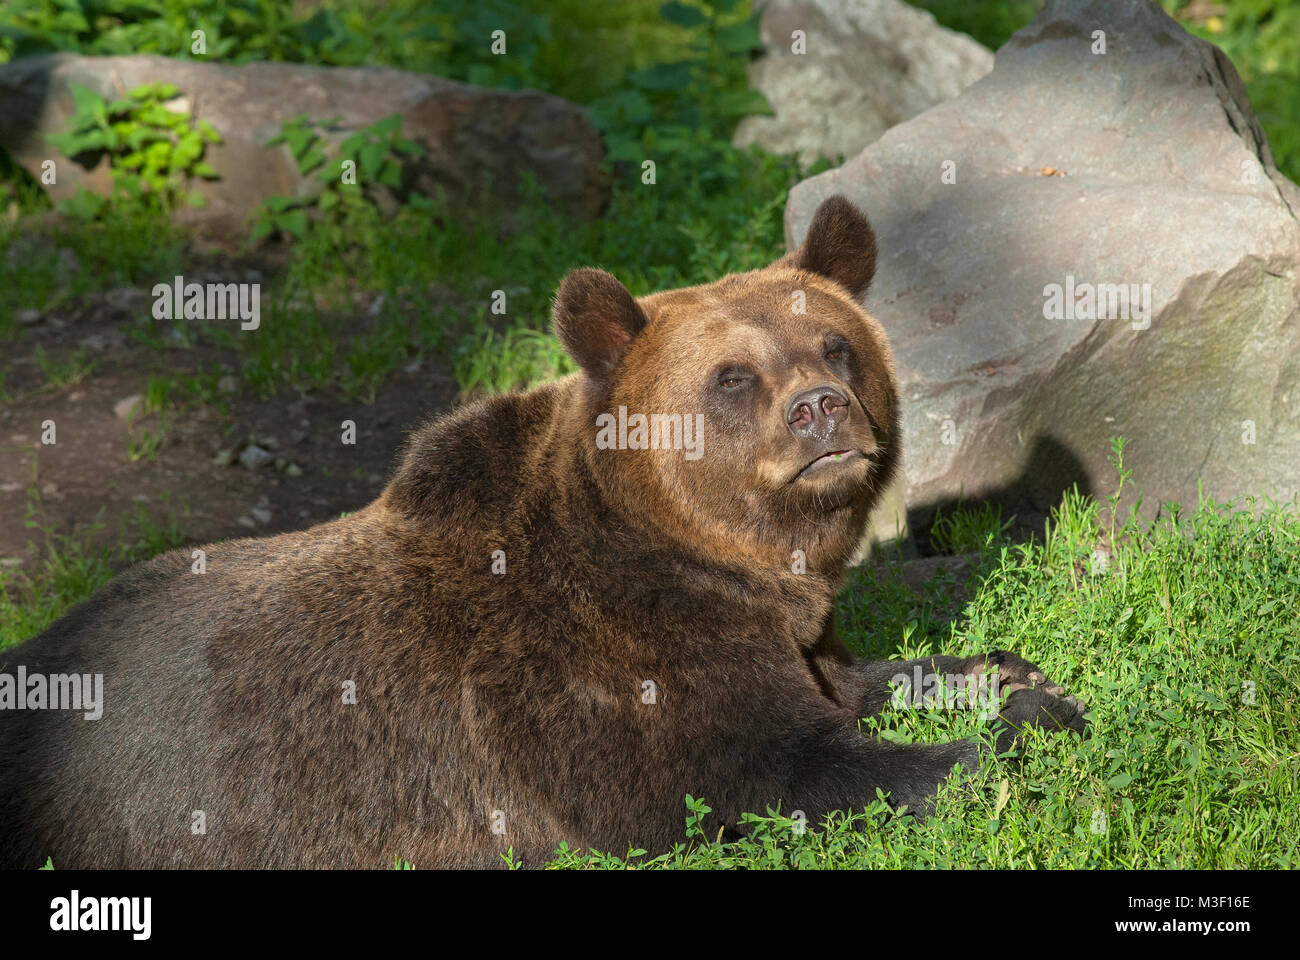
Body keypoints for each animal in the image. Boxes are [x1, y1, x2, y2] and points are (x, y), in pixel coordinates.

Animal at [0, 196, 1086, 869]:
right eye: (734, 377)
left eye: (835, 342)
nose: (822, 409)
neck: (732, 560)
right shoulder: (594, 667)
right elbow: (770, 772)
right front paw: (1033, 728)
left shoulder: (791, 630)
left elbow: (861, 680)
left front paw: (1012, 675)